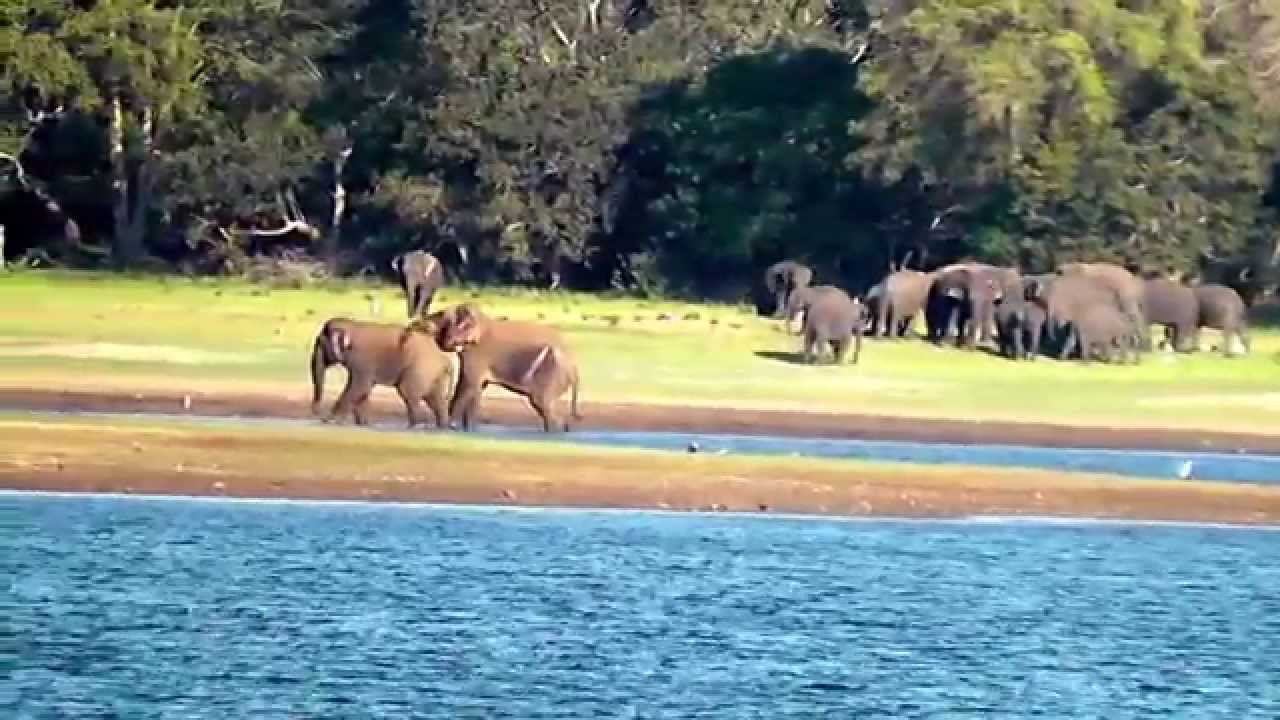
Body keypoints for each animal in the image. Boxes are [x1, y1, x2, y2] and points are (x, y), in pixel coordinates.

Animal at [309, 317, 454, 428]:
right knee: (435, 399)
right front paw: (364, 424)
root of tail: (445, 359)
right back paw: (441, 426)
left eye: (320, 343)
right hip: (434, 373)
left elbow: (359, 387)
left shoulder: (362, 360)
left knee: (408, 392)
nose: (319, 415)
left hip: (421, 369)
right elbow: (363, 390)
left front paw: (331, 421)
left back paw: (415, 426)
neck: (351, 325)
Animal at [428, 303, 582, 432]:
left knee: (541, 402)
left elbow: (467, 385)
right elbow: (477, 388)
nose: (426, 321)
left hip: (551, 373)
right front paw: (467, 429)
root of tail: (575, 368)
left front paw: (454, 427)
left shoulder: (478, 355)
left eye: (441, 315)